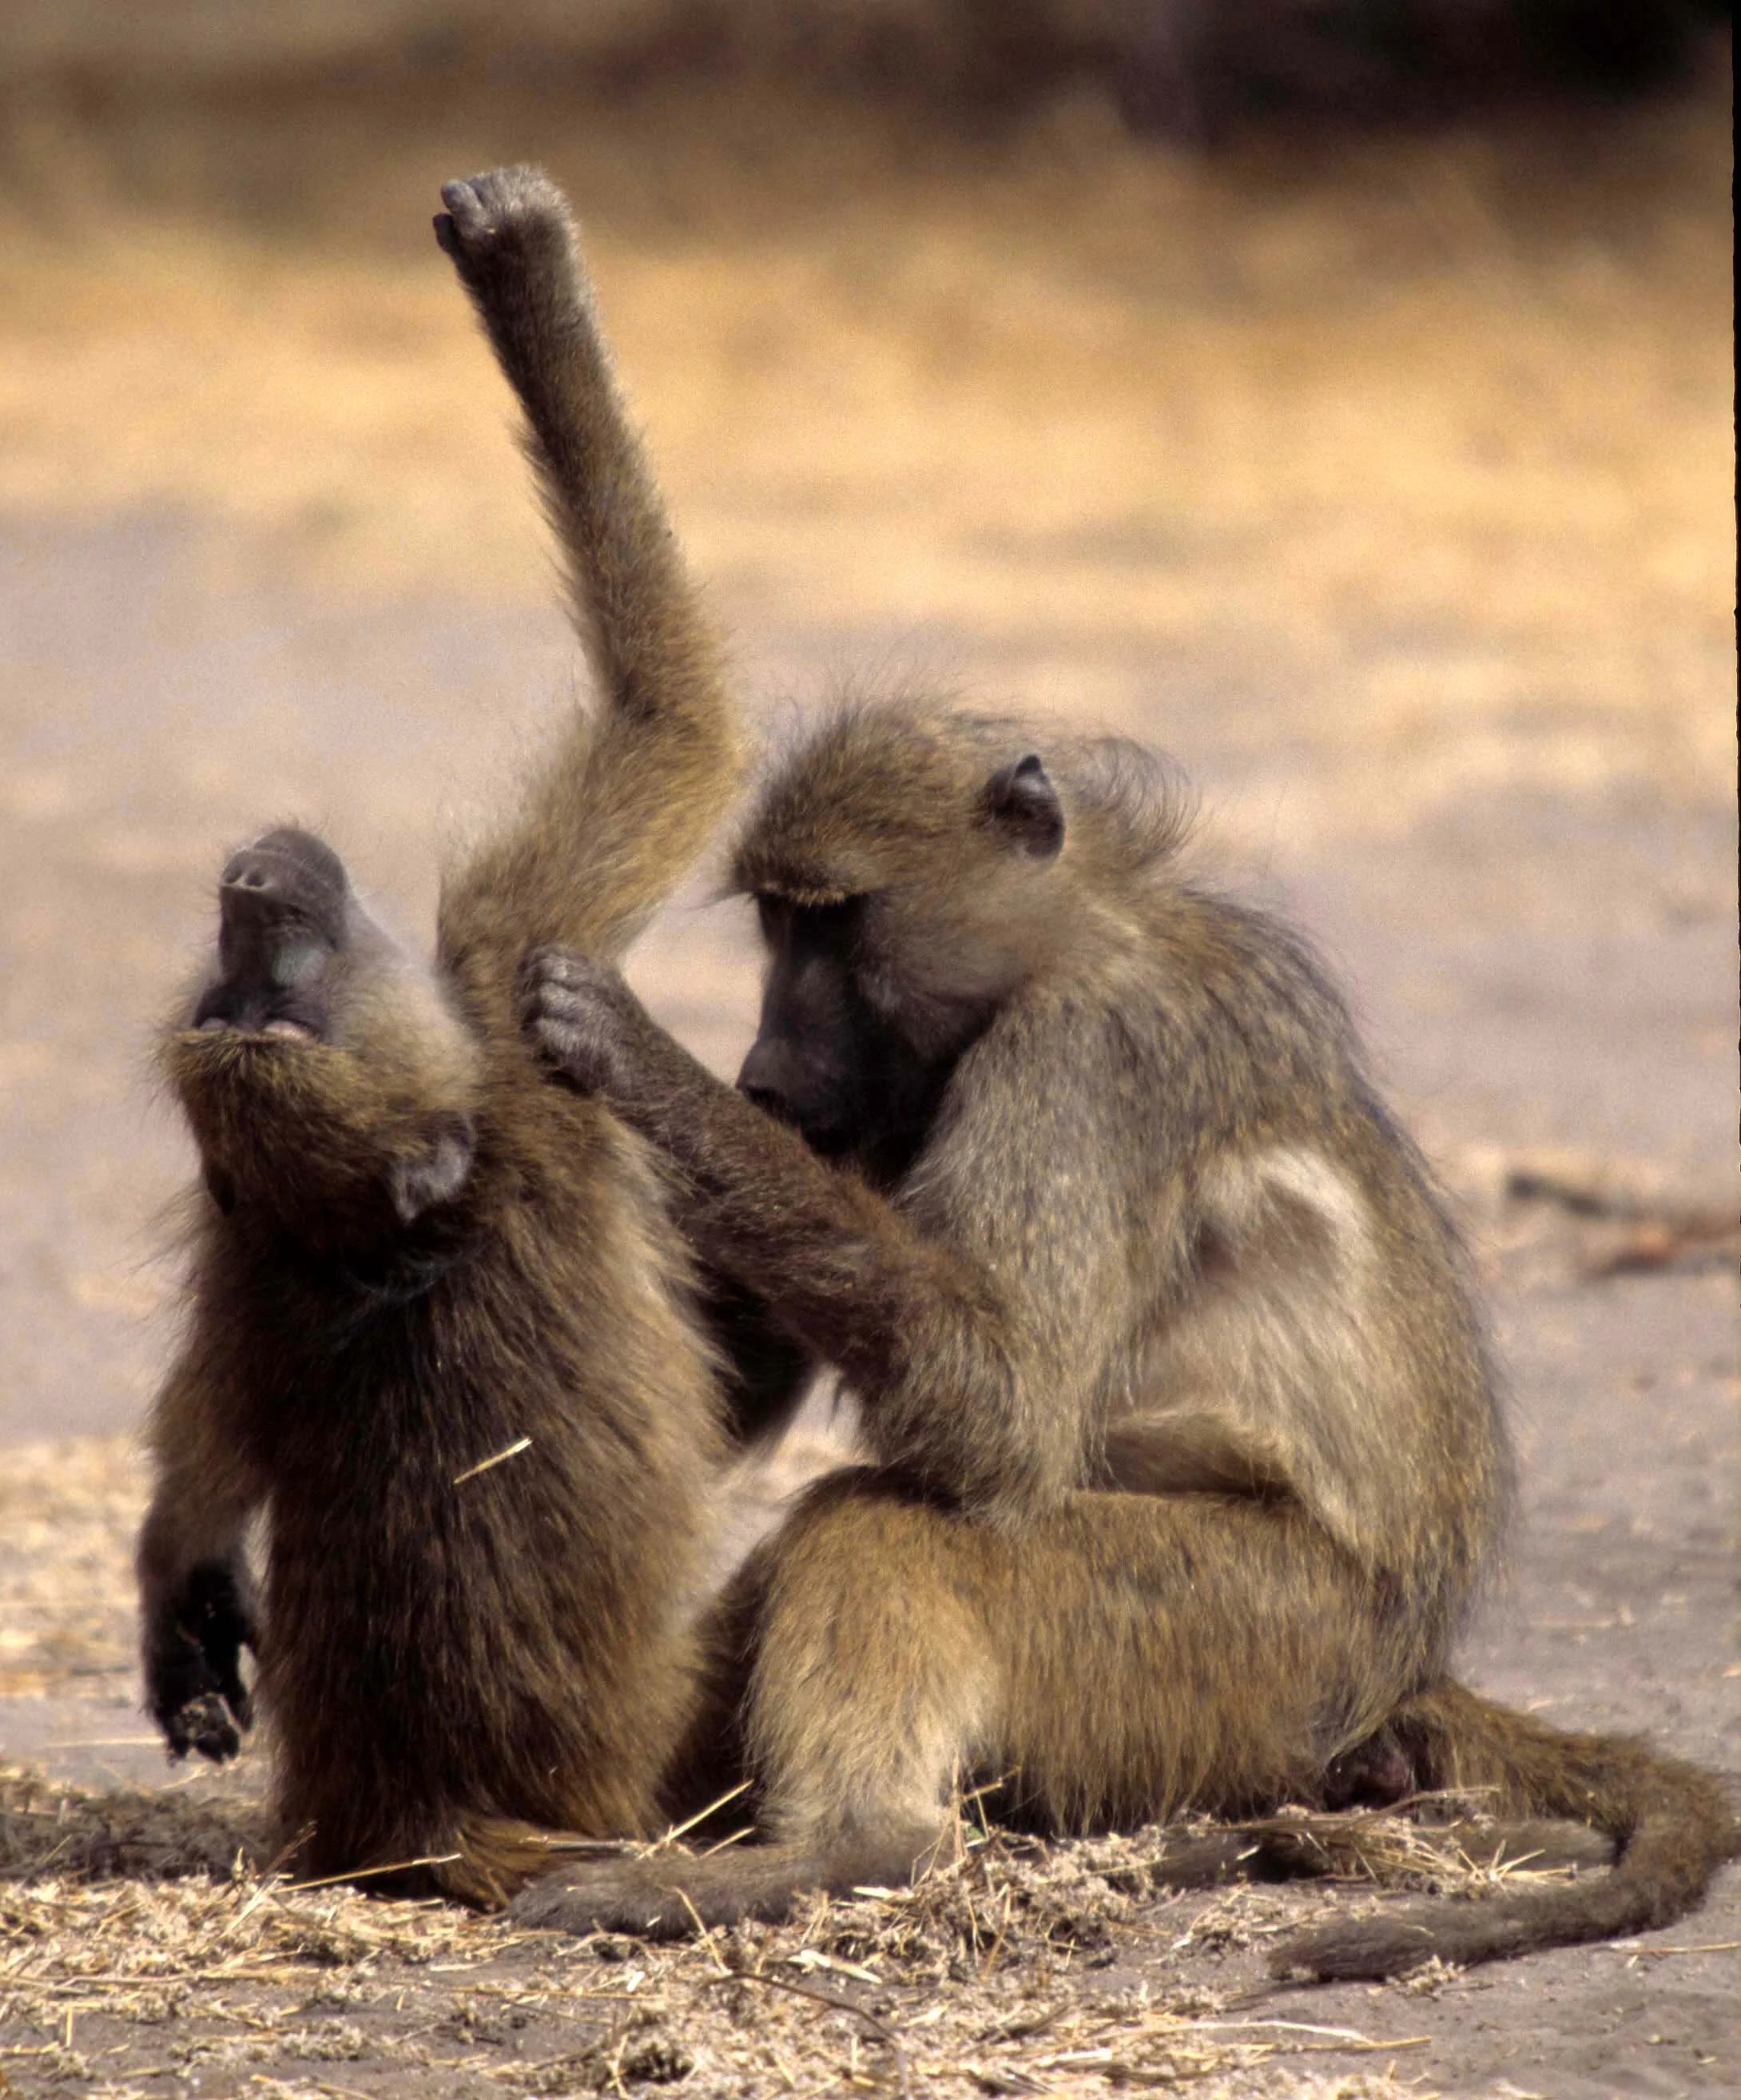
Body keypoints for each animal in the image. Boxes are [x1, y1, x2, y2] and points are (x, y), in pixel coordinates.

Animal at [135, 164, 744, 1904]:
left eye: (246, 994)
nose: (254, 883)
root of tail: (436, 1814)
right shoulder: (507, 981)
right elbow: (670, 714)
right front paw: (519, 265)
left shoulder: (258, 1265)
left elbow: (207, 1448)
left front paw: (180, 1596)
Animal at [510, 696, 1738, 1972]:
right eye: (775, 921)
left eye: (835, 923)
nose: (762, 1076)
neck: (1060, 937)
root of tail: (1404, 1665)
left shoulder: (1078, 1058)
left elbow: (1004, 1414)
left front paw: (644, 1066)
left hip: (1241, 1636)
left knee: (885, 1522)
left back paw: (842, 1852)